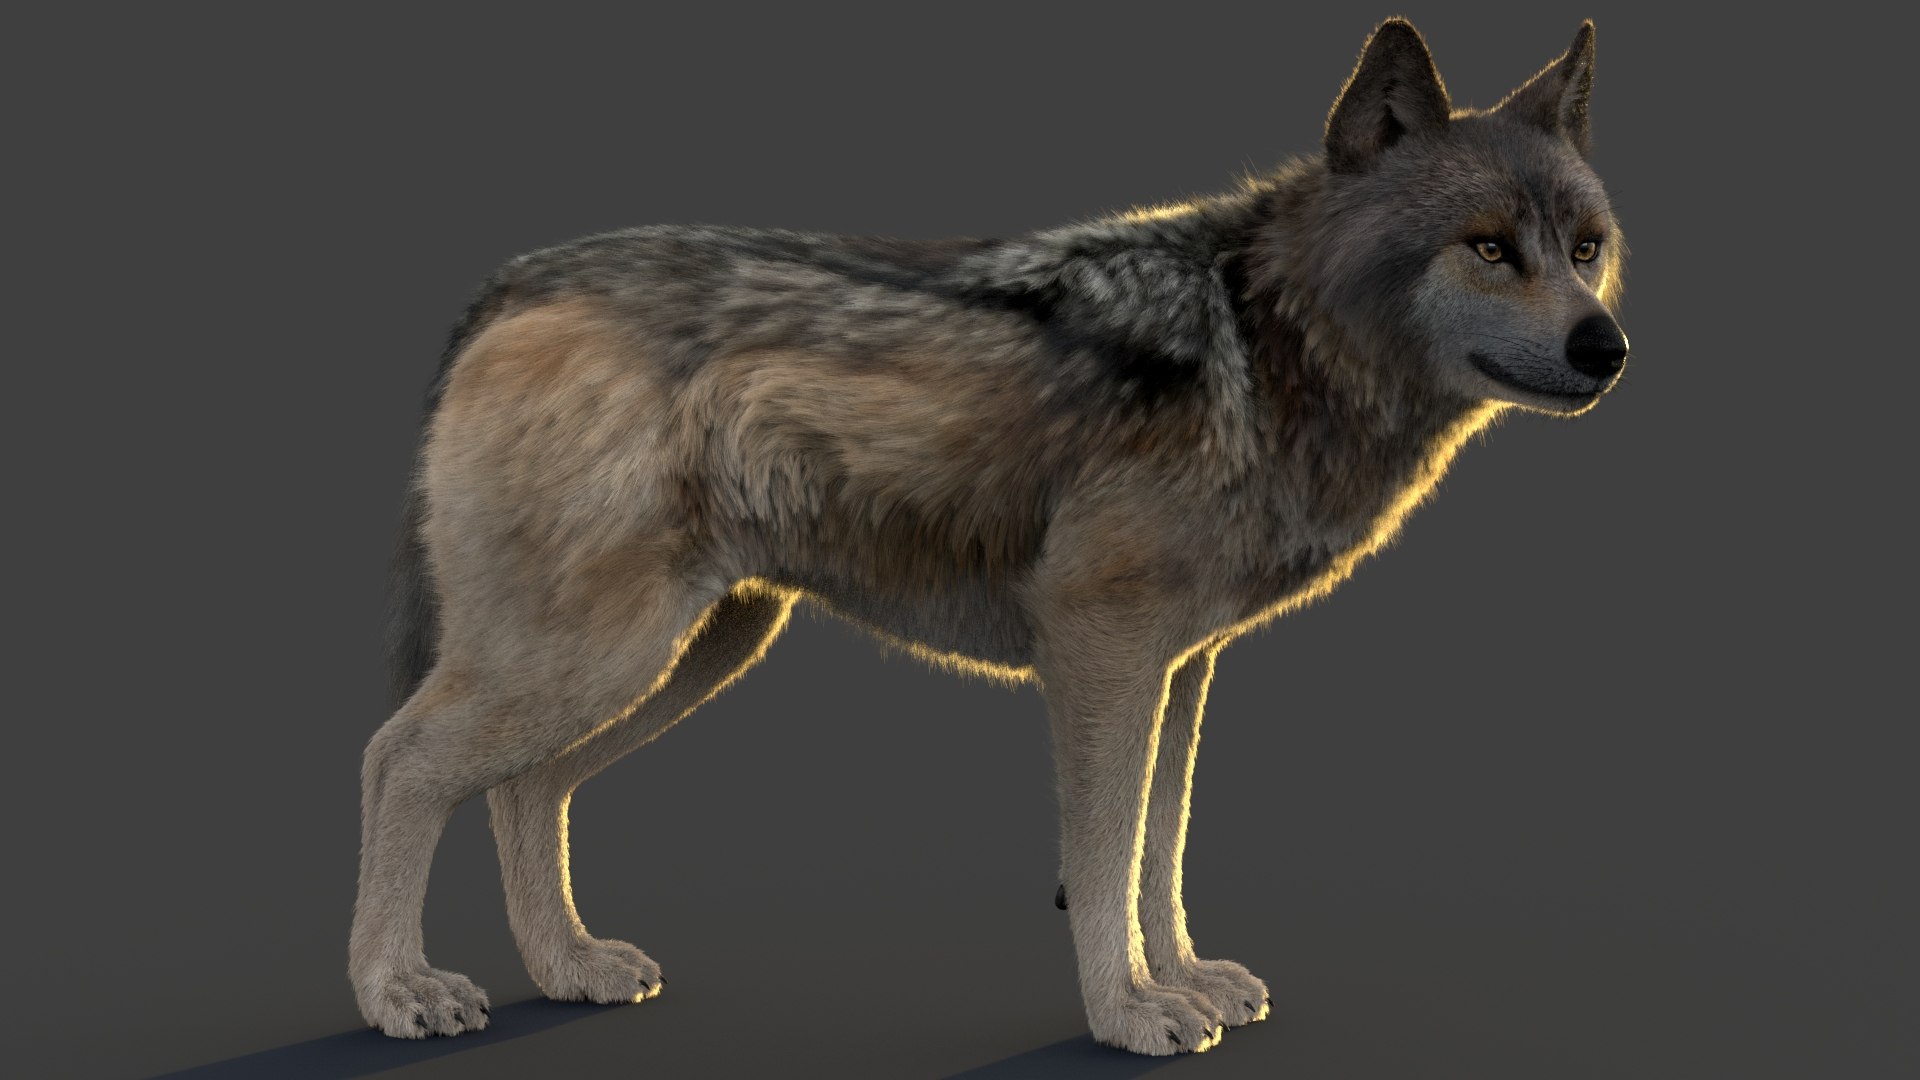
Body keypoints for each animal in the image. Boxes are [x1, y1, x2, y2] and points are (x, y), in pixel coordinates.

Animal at [351, 18, 1628, 1056]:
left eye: (1586, 248)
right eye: (1487, 247)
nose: (1606, 348)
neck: (1269, 341)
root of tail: (520, 280)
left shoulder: (1180, 669)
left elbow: (1158, 850)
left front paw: (1182, 982)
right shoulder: (1099, 652)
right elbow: (1105, 859)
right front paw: (1129, 1017)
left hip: (678, 657)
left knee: (525, 788)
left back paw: (569, 968)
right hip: (600, 658)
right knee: (398, 762)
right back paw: (396, 992)